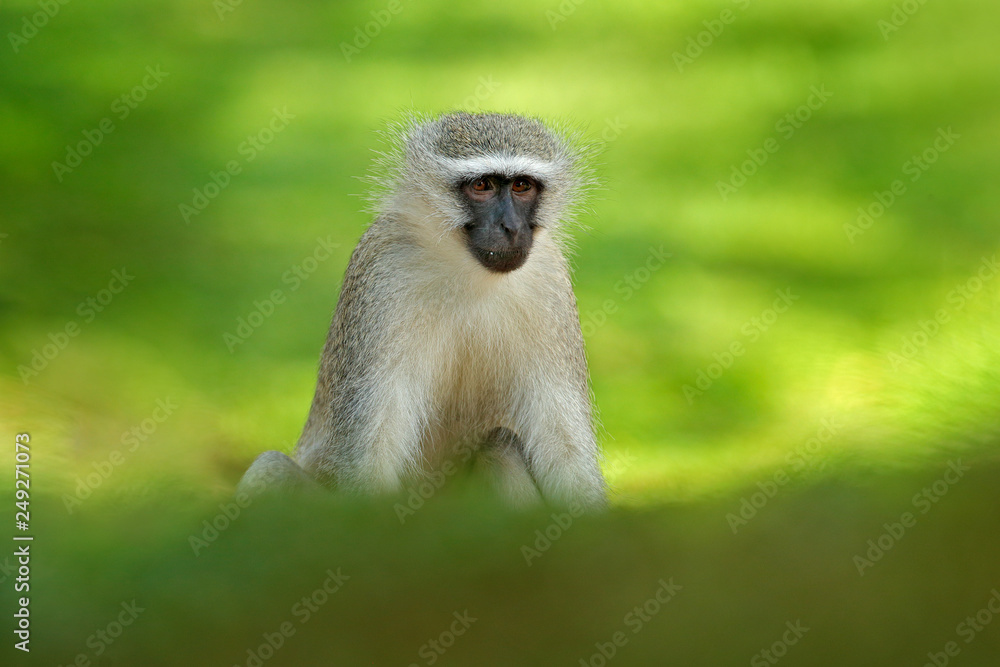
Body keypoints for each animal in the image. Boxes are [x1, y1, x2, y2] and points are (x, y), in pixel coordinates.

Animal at [237, 111, 606, 509]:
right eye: (482, 185)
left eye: (522, 186)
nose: (510, 227)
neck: (467, 271)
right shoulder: (383, 274)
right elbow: (368, 459)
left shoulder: (550, 282)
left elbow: (566, 453)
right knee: (269, 470)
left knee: (500, 445)